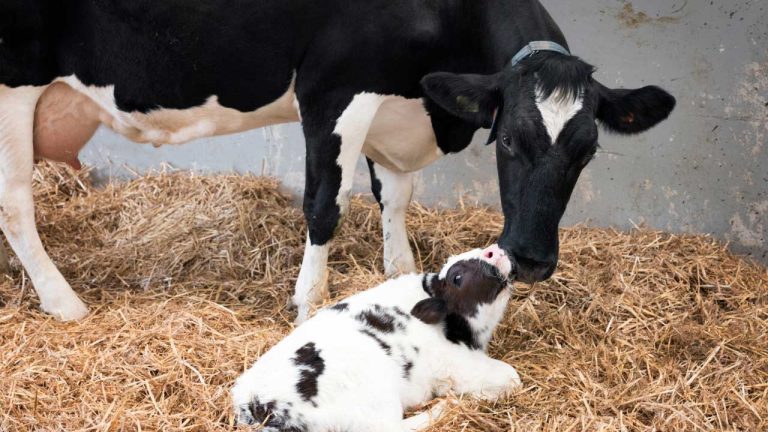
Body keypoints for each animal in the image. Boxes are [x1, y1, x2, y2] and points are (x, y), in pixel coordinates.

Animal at [0, 0, 675, 322]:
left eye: (588, 149)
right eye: (507, 139)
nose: (532, 260)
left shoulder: (398, 103)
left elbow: (396, 201)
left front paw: (401, 276)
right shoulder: (334, 88)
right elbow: (325, 205)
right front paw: (307, 302)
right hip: (12, 83)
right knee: (14, 204)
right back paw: (64, 303)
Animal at [231, 245, 520, 431]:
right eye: (457, 277)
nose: (494, 250)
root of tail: (259, 404)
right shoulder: (457, 365)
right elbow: (511, 378)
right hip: (376, 401)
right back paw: (443, 409)